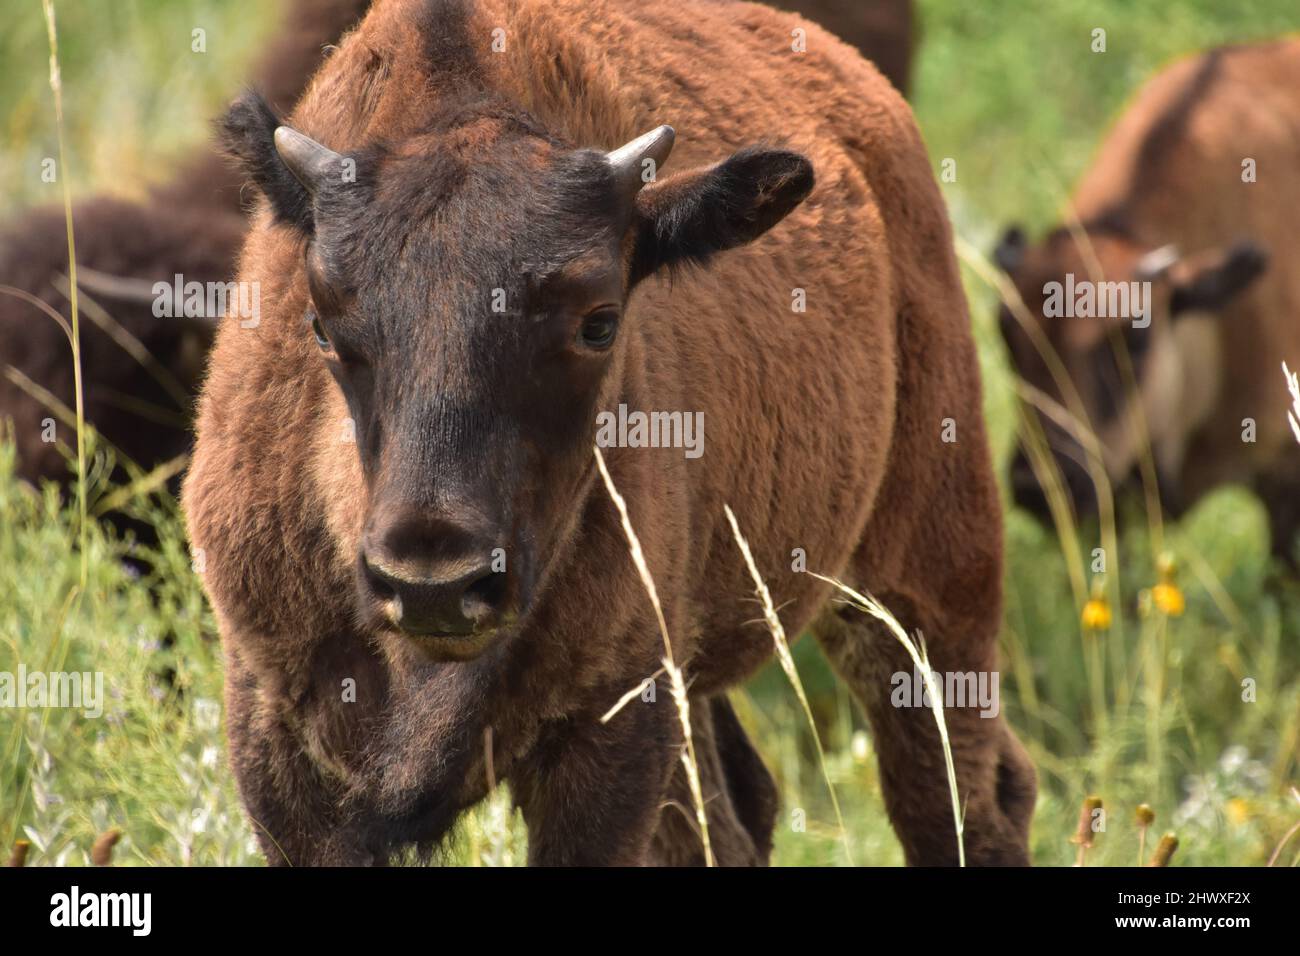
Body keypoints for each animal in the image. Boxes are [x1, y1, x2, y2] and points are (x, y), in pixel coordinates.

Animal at [184, 0, 1035, 866]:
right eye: (321, 323)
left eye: (599, 321)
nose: (436, 584)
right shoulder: (276, 739)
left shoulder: (610, 732)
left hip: (927, 583)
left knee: (957, 793)